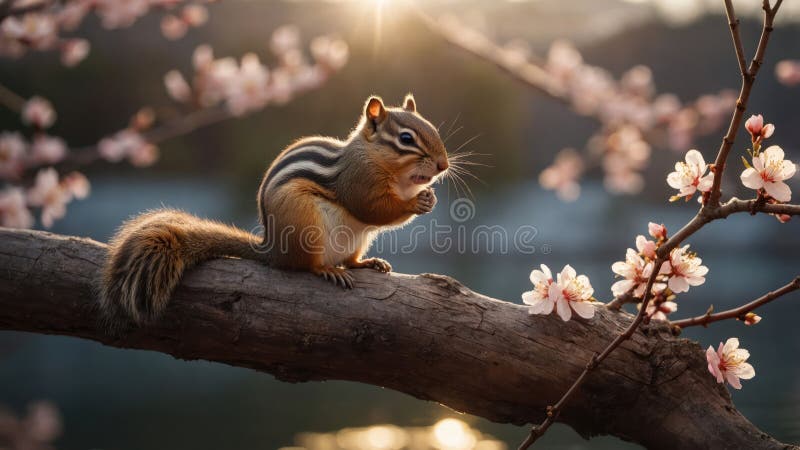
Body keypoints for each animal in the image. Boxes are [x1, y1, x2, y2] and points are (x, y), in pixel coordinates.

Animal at [99, 94, 450, 326]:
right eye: (406, 138)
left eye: (434, 129)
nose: (443, 165)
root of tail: (272, 249)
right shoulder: (358, 180)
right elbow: (373, 209)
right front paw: (416, 203)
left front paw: (429, 197)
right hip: (306, 228)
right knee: (304, 266)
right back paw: (327, 270)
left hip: (357, 239)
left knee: (350, 260)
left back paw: (367, 263)